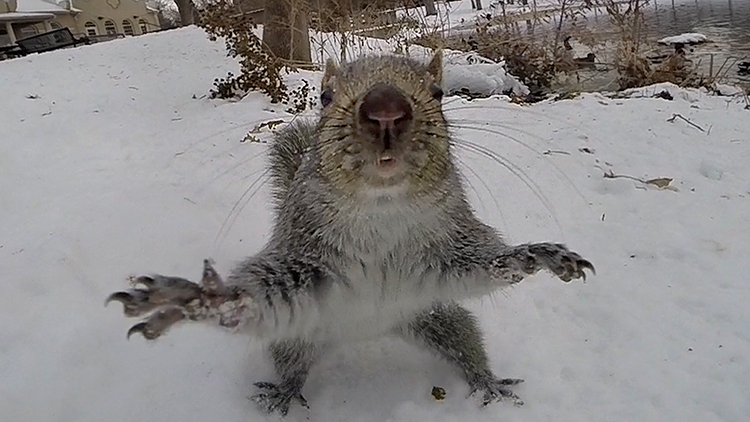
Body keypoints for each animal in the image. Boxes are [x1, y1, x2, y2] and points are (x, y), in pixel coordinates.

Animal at [106, 53, 594, 416]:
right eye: (324, 97)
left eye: (439, 93)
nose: (386, 110)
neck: (380, 210)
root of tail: (368, 332)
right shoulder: (304, 258)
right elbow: (262, 297)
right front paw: (199, 299)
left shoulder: (443, 253)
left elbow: (479, 266)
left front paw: (534, 255)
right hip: (298, 337)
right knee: (292, 364)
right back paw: (283, 393)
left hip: (436, 315)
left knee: (464, 343)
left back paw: (487, 382)